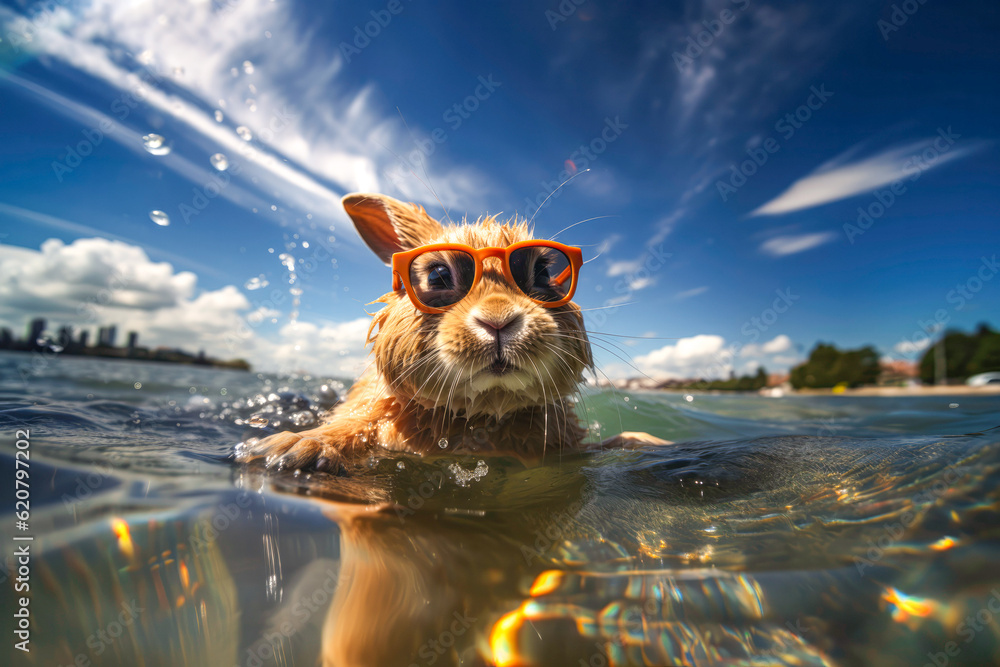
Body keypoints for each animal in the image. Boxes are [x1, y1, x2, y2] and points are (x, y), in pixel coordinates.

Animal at [238, 192, 670, 472]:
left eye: (545, 272)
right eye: (438, 276)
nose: (499, 320)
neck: (479, 413)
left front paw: (652, 444)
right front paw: (298, 447)